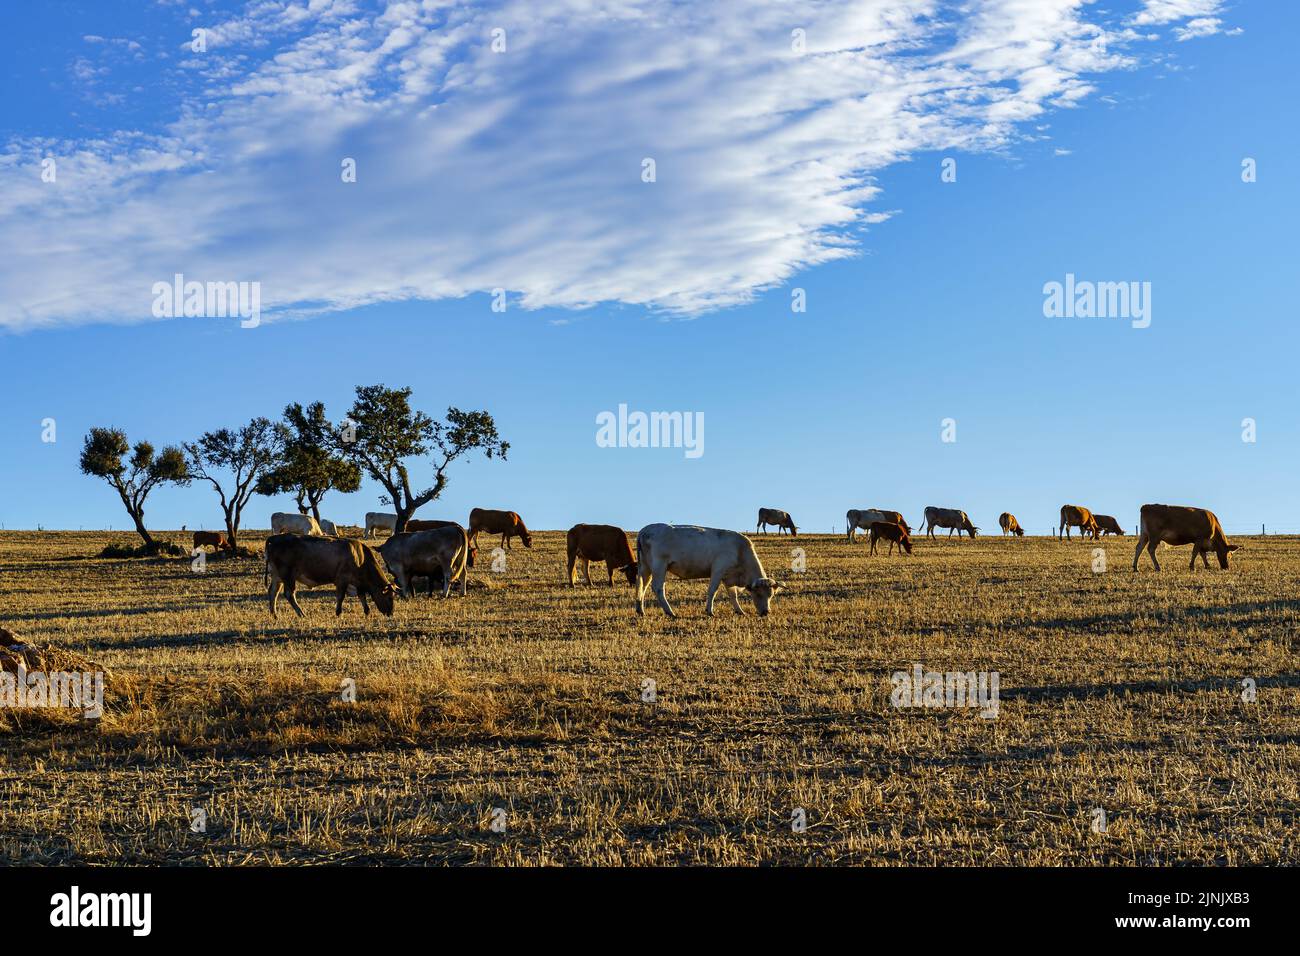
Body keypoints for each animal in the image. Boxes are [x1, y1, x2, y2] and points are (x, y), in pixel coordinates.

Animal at [264, 534, 398, 617]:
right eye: (389, 597)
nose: (391, 613)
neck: (360, 557)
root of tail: (275, 538)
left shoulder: (358, 582)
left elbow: (362, 596)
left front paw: (367, 611)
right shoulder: (342, 580)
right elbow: (341, 596)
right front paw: (338, 612)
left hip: (277, 576)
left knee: (273, 592)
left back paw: (274, 614)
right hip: (288, 575)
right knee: (289, 594)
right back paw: (301, 613)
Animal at [634, 523, 783, 618]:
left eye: (771, 595)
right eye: (758, 594)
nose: (766, 612)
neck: (740, 550)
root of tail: (644, 531)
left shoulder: (728, 577)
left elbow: (732, 595)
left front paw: (739, 611)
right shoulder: (718, 570)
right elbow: (713, 590)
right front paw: (709, 611)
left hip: (645, 568)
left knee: (642, 586)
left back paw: (640, 610)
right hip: (659, 566)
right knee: (658, 588)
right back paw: (670, 612)